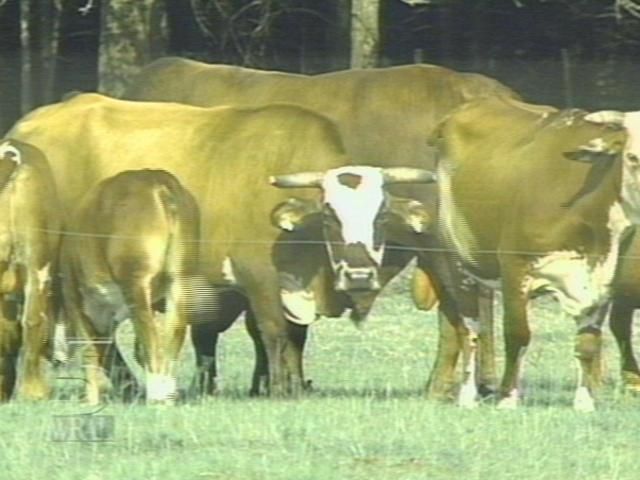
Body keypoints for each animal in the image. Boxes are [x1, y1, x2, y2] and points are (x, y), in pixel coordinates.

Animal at [60, 169, 200, 404]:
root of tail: (158, 181)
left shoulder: (77, 301)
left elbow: (90, 351)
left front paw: (91, 399)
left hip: (135, 283)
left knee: (151, 340)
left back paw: (156, 397)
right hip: (180, 281)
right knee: (172, 336)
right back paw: (168, 395)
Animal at [429, 95, 640, 411]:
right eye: (633, 158)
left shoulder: (603, 279)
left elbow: (588, 342)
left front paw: (584, 402)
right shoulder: (515, 267)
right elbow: (517, 334)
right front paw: (507, 397)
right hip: (458, 262)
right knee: (470, 328)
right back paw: (468, 394)